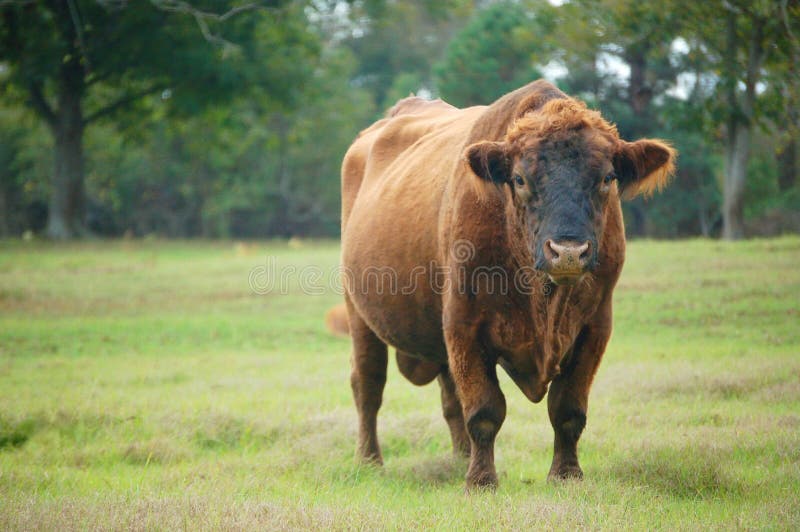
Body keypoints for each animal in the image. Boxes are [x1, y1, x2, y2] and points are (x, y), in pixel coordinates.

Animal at [335, 80, 675, 489]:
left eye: (607, 178)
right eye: (520, 179)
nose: (568, 251)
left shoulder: (595, 327)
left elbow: (568, 408)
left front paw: (566, 475)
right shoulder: (464, 326)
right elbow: (484, 409)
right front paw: (482, 481)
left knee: (448, 398)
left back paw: (457, 460)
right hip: (359, 316)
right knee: (368, 385)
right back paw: (370, 460)